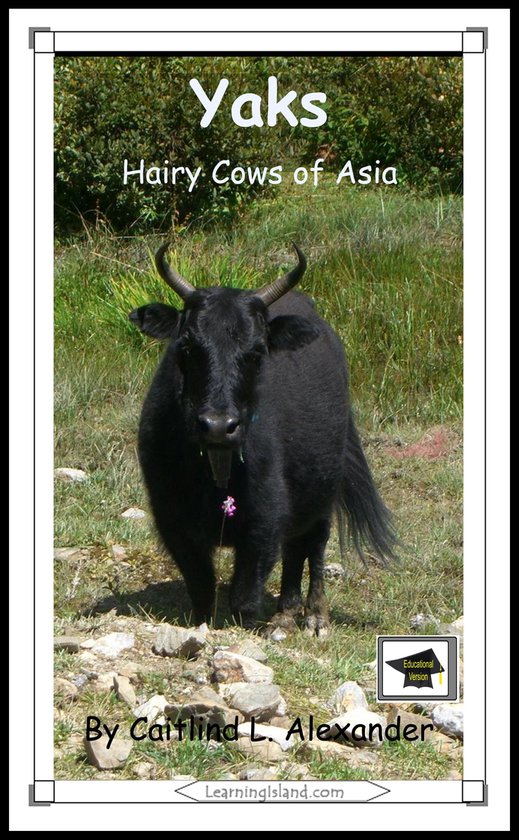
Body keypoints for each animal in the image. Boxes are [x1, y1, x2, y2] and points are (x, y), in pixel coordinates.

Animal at [129, 243, 396, 636]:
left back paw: (307, 616)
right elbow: (201, 587)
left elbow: (245, 593)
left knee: (311, 546)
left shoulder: (265, 516)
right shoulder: (173, 518)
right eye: (187, 346)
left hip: (323, 491)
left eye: (256, 352)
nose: (218, 426)